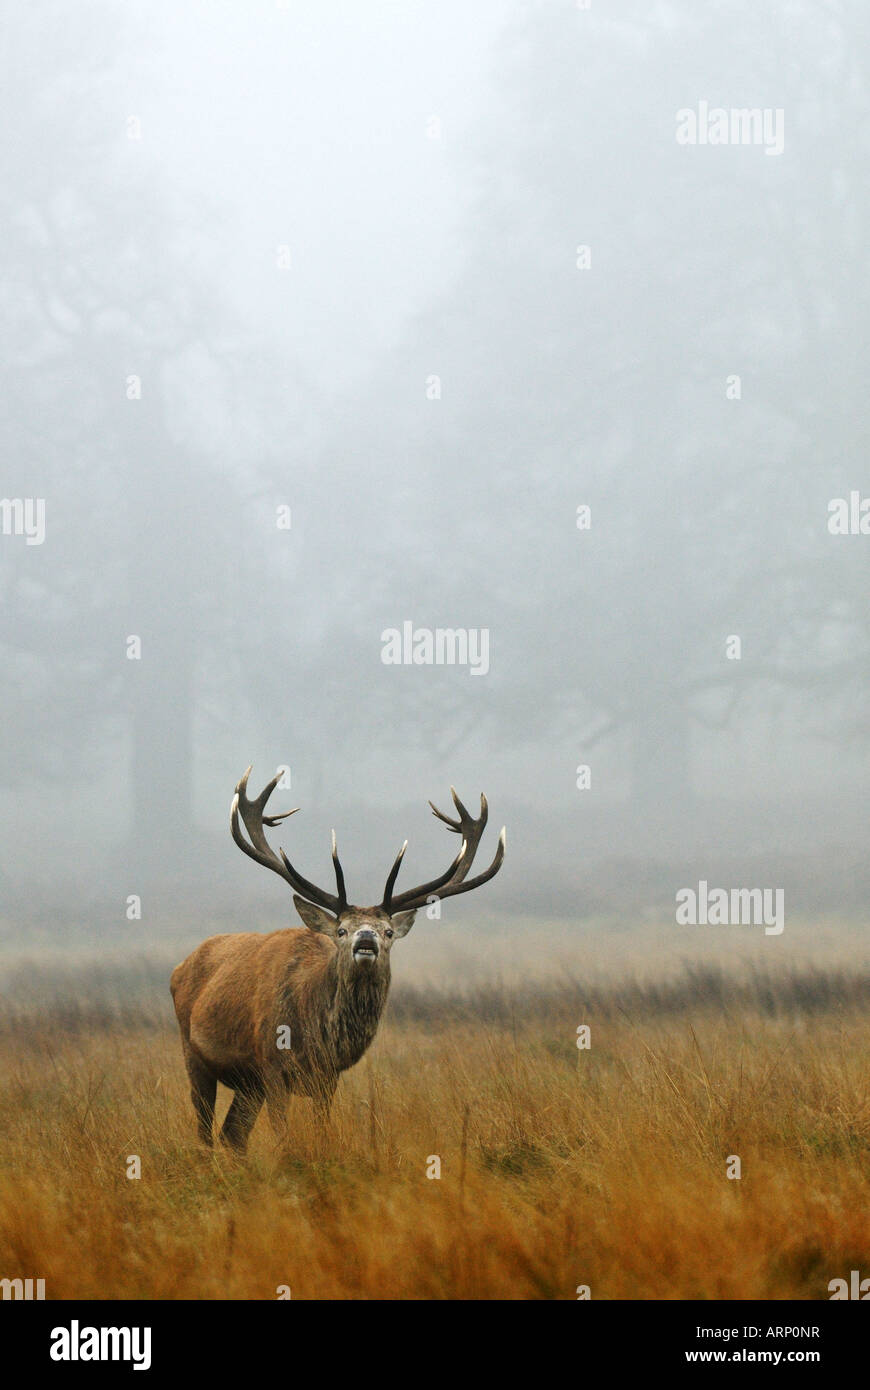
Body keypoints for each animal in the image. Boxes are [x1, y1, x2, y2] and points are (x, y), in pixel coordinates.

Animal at [170, 766, 506, 1151]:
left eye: (388, 932)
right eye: (342, 930)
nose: (366, 940)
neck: (314, 1032)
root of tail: (179, 968)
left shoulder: (328, 1076)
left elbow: (321, 1130)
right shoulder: (272, 1064)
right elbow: (283, 1136)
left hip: (247, 1084)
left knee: (232, 1136)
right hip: (194, 1054)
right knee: (205, 1133)